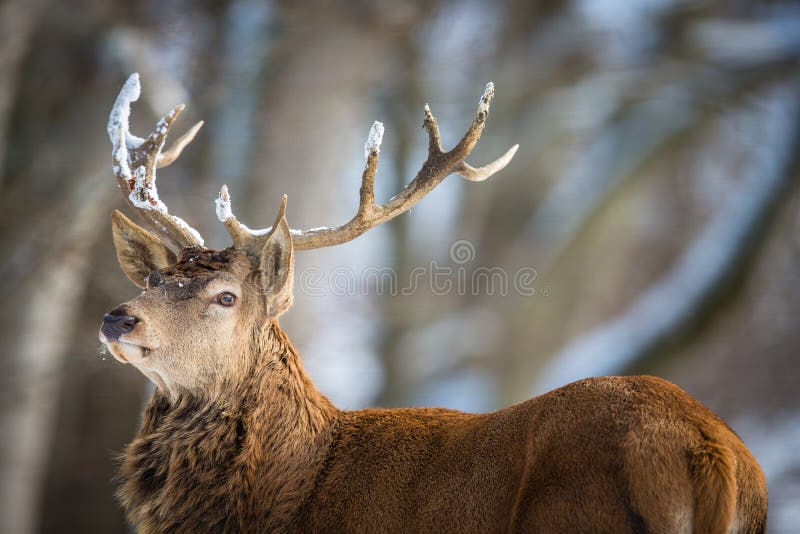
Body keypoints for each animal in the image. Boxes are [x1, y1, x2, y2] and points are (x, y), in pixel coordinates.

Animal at [99, 73, 767, 534]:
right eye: (154, 279)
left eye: (226, 296)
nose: (117, 316)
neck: (281, 501)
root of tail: (713, 453)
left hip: (578, 514)